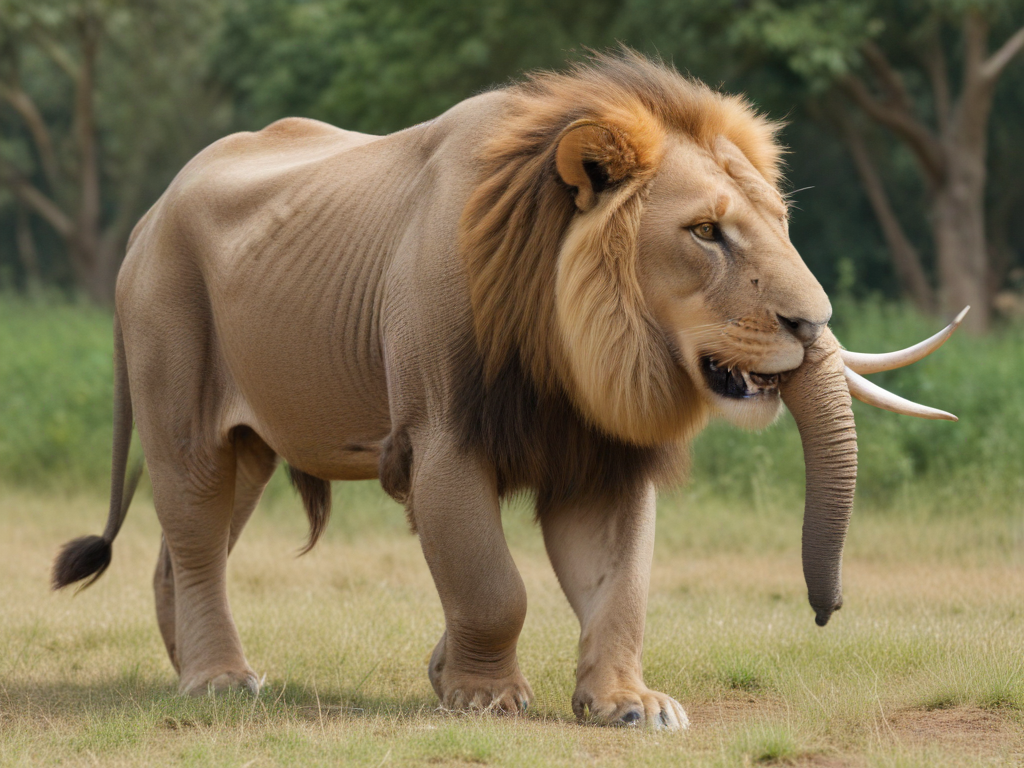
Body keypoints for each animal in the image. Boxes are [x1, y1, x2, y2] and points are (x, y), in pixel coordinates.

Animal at [53, 51, 961, 729]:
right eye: (706, 232)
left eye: (780, 222)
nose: (811, 324)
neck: (567, 337)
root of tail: (148, 217)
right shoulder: (440, 441)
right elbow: (493, 587)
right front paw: (481, 693)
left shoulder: (604, 454)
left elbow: (620, 586)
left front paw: (631, 706)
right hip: (183, 414)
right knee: (198, 540)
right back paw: (220, 683)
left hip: (251, 448)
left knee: (181, 557)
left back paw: (190, 671)